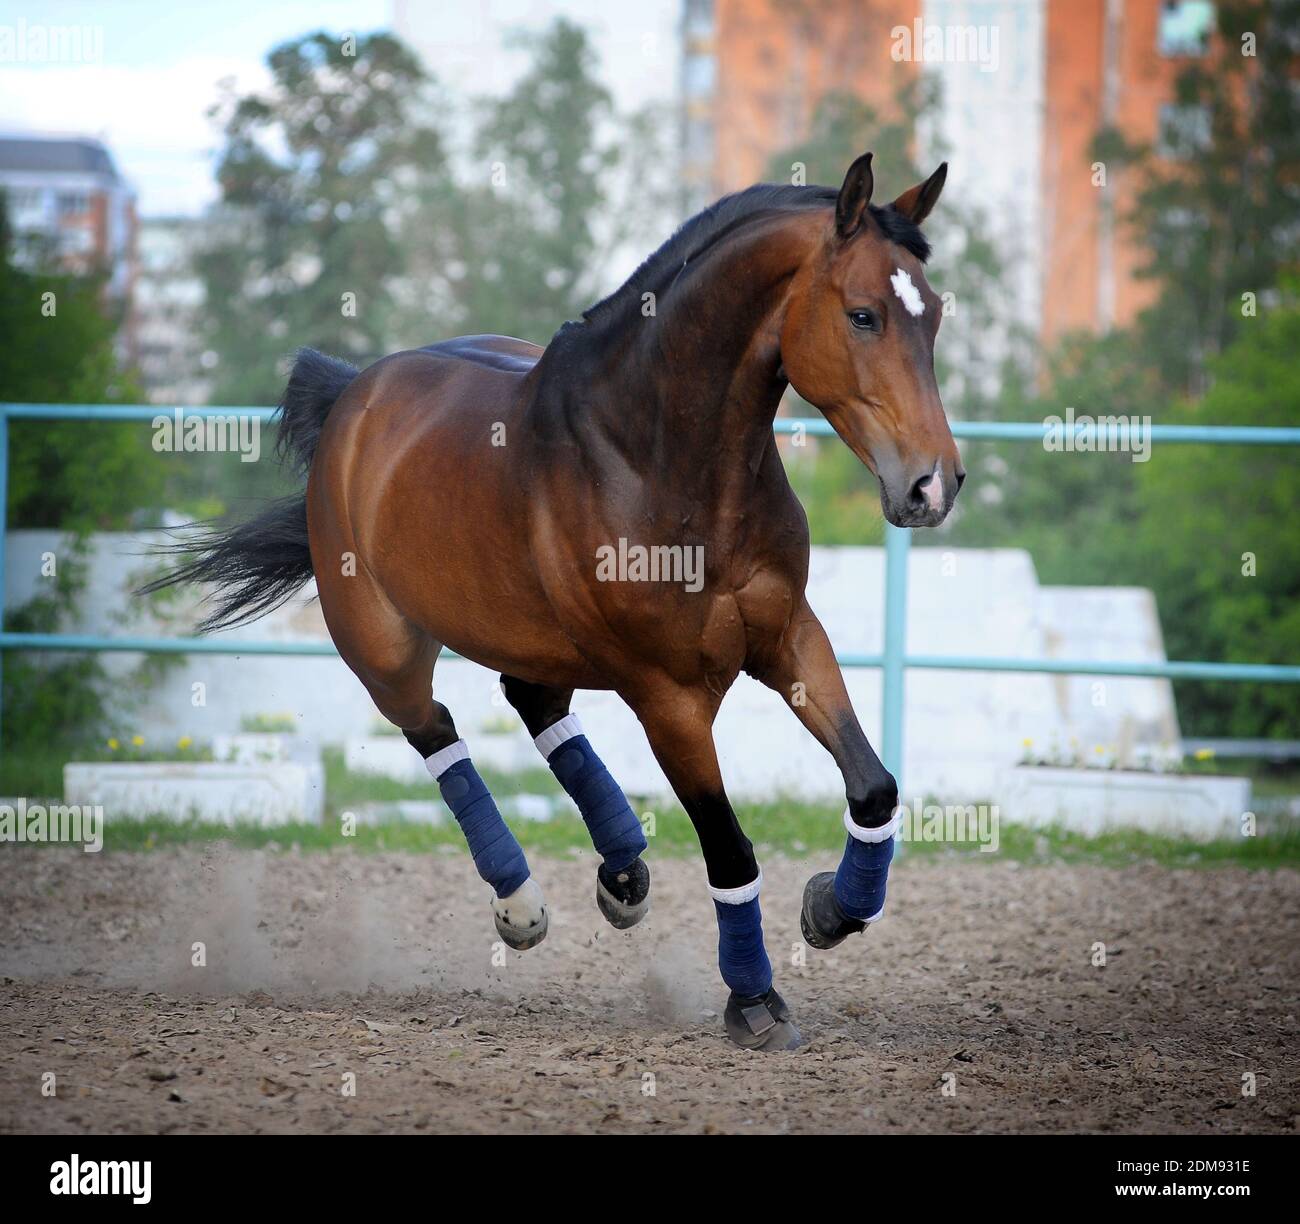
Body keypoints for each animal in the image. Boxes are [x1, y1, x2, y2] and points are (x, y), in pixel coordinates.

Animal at [145, 152, 963, 1051]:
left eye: (933, 316)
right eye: (863, 315)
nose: (933, 485)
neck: (656, 455)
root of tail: (355, 394)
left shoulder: (787, 636)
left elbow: (873, 786)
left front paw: (831, 910)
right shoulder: (668, 696)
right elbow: (730, 851)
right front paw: (754, 1002)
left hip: (533, 636)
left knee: (534, 702)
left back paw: (624, 871)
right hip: (384, 651)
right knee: (436, 733)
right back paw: (521, 902)